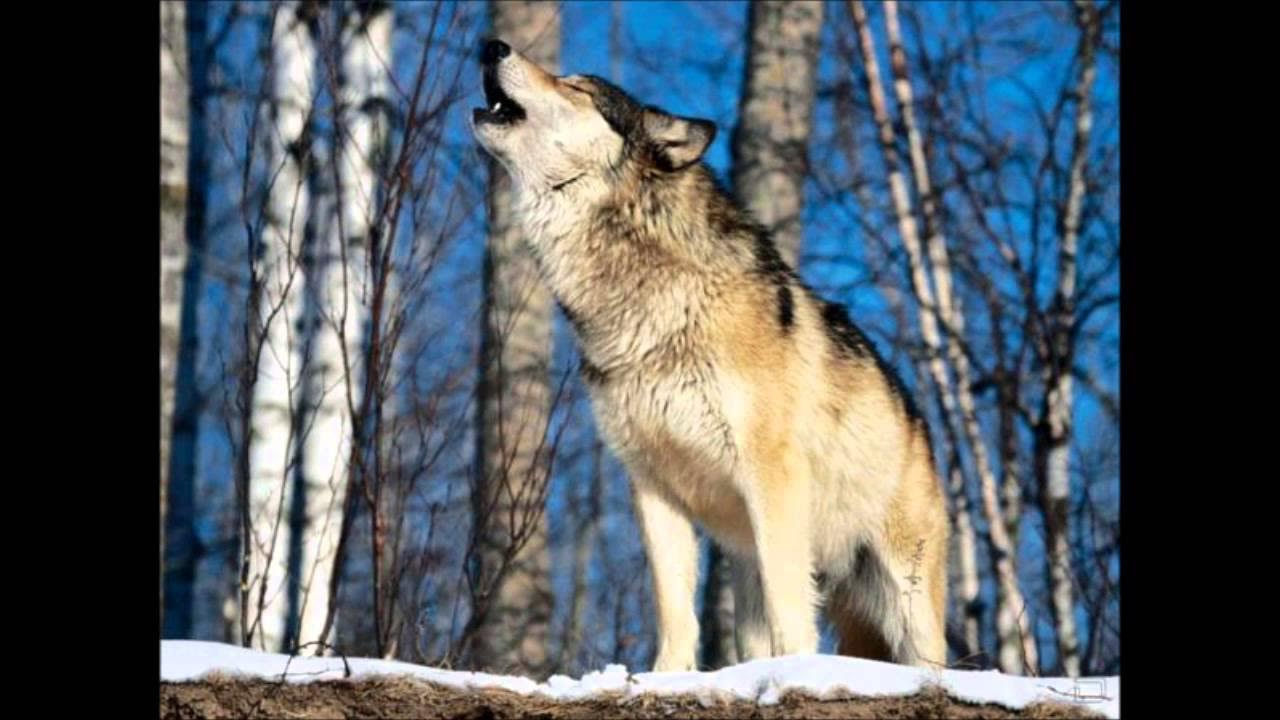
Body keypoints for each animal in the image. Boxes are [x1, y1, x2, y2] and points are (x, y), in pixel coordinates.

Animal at [471, 39, 949, 671]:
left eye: (576, 87)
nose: (491, 45)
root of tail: (920, 422)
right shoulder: (653, 487)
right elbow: (675, 609)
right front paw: (664, 678)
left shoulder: (772, 476)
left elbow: (790, 608)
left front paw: (794, 673)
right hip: (751, 567)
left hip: (904, 596)